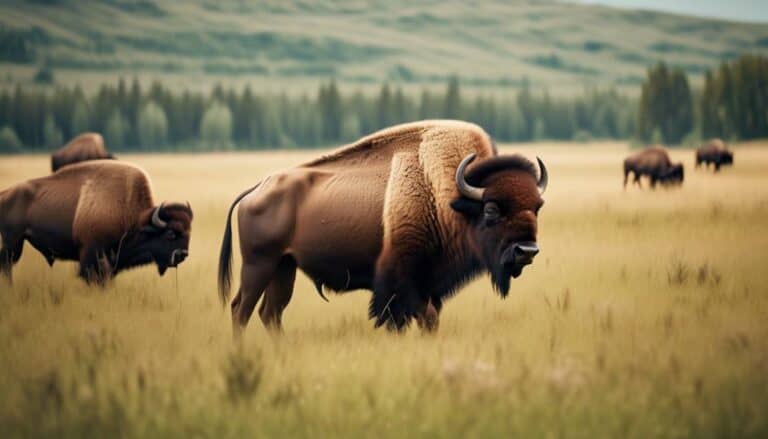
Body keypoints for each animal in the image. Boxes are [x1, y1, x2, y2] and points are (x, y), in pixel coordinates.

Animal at [0, 161, 192, 285]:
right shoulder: (90, 254)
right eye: (170, 233)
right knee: (7, 265)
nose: (182, 255)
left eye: (189, 233)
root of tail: (5, 193)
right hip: (13, 242)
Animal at [218, 120, 547, 335]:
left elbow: (430, 318)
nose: (526, 251)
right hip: (259, 264)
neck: (446, 194)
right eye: (491, 209)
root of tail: (256, 190)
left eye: (537, 207)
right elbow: (416, 317)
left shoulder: (430, 284)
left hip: (284, 267)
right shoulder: (403, 282)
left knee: (270, 313)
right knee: (240, 309)